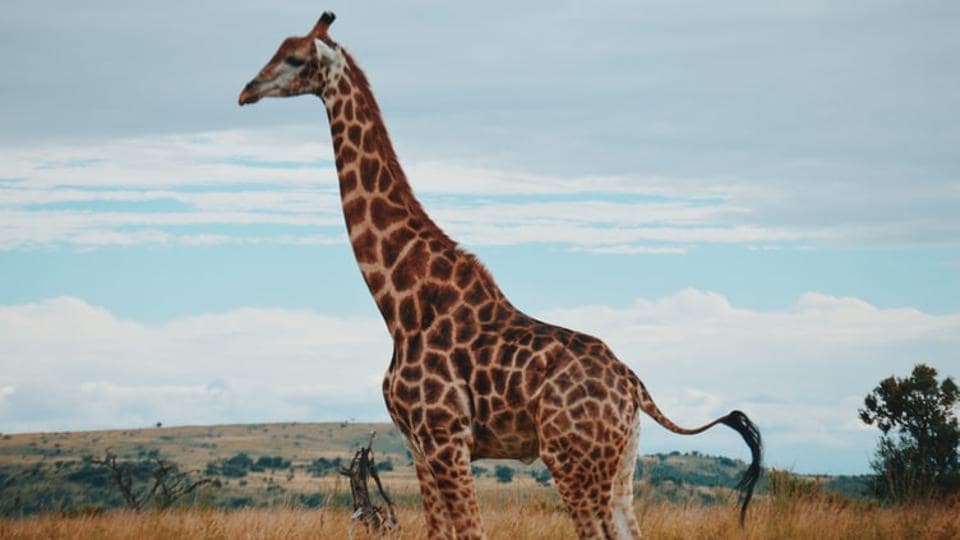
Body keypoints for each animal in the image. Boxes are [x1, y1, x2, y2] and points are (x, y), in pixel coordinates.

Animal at [239, 13, 762, 540]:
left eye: (295, 58)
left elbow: (472, 530)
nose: (246, 91)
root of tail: (634, 386)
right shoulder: (418, 445)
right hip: (620, 463)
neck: (402, 304)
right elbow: (440, 531)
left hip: (572, 459)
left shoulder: (446, 438)